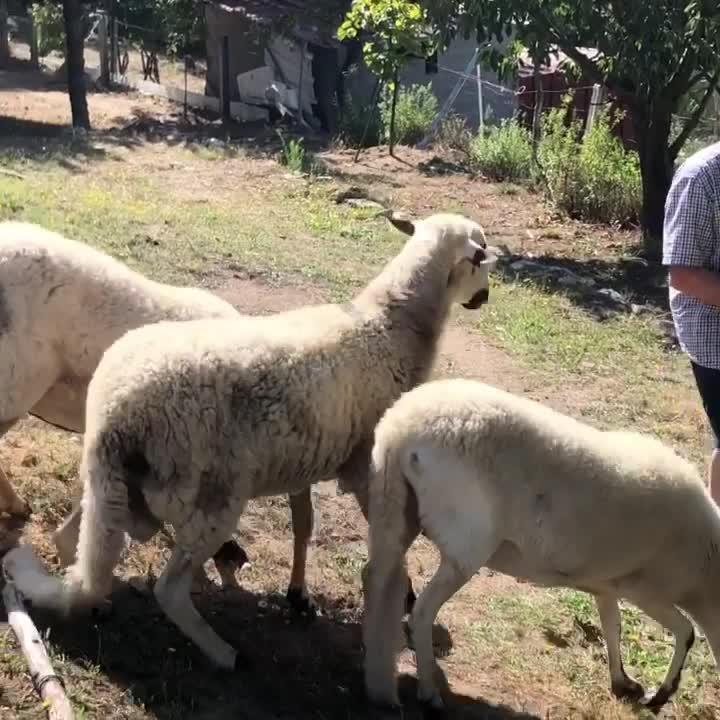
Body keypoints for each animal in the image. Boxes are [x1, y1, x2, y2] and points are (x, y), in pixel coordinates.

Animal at [2, 212, 499, 670]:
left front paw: (298, 593)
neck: (387, 325)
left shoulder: (307, 451)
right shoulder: (364, 464)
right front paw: (405, 595)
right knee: (169, 587)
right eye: (481, 258)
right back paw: (224, 652)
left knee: (78, 542)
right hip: (206, 492)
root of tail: (117, 415)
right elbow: (385, 537)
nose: (485, 298)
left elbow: (305, 521)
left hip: (112, 485)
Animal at [361, 377, 720, 712]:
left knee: (376, 580)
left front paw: (622, 682)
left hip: (393, 508)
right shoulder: (643, 588)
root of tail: (400, 426)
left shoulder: (605, 583)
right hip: (465, 544)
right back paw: (428, 691)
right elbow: (686, 631)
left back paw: (376, 673)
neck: (706, 571)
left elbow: (612, 626)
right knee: (421, 613)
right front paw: (661, 693)